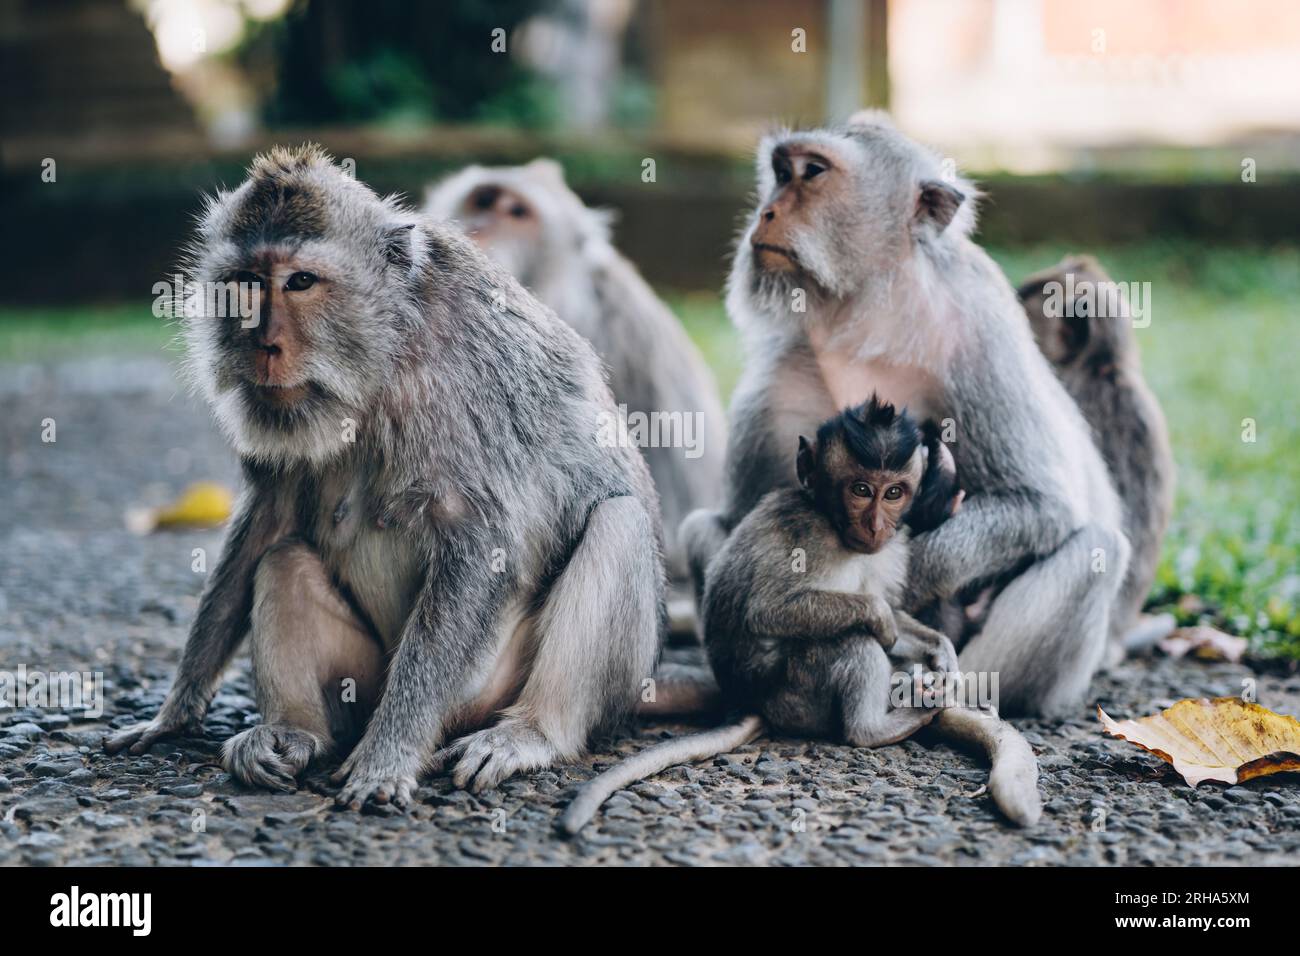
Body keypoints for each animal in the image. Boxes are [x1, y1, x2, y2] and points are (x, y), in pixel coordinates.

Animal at [103, 145, 665, 809]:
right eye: (247, 284)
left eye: (300, 281)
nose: (265, 344)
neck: (383, 354)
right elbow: (267, 520)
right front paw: (175, 711)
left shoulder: (453, 388)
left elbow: (480, 542)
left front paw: (387, 757)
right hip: (366, 682)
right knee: (283, 560)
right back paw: (295, 732)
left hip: (488, 686)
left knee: (619, 521)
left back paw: (531, 733)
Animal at [560, 398, 1041, 834]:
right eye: (861, 490)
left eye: (894, 492)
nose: (875, 525)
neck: (839, 531)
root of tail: (750, 698)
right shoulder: (807, 533)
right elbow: (771, 610)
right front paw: (881, 619)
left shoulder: (891, 550)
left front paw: (940, 651)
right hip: (793, 693)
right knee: (851, 640)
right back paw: (874, 728)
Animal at [681, 110, 1129, 718]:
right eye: (779, 173)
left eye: (813, 172)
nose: (766, 212)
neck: (870, 317)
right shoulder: (783, 372)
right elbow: (749, 525)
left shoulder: (980, 336)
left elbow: (1041, 503)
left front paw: (902, 582)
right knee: (702, 529)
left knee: (1095, 548)